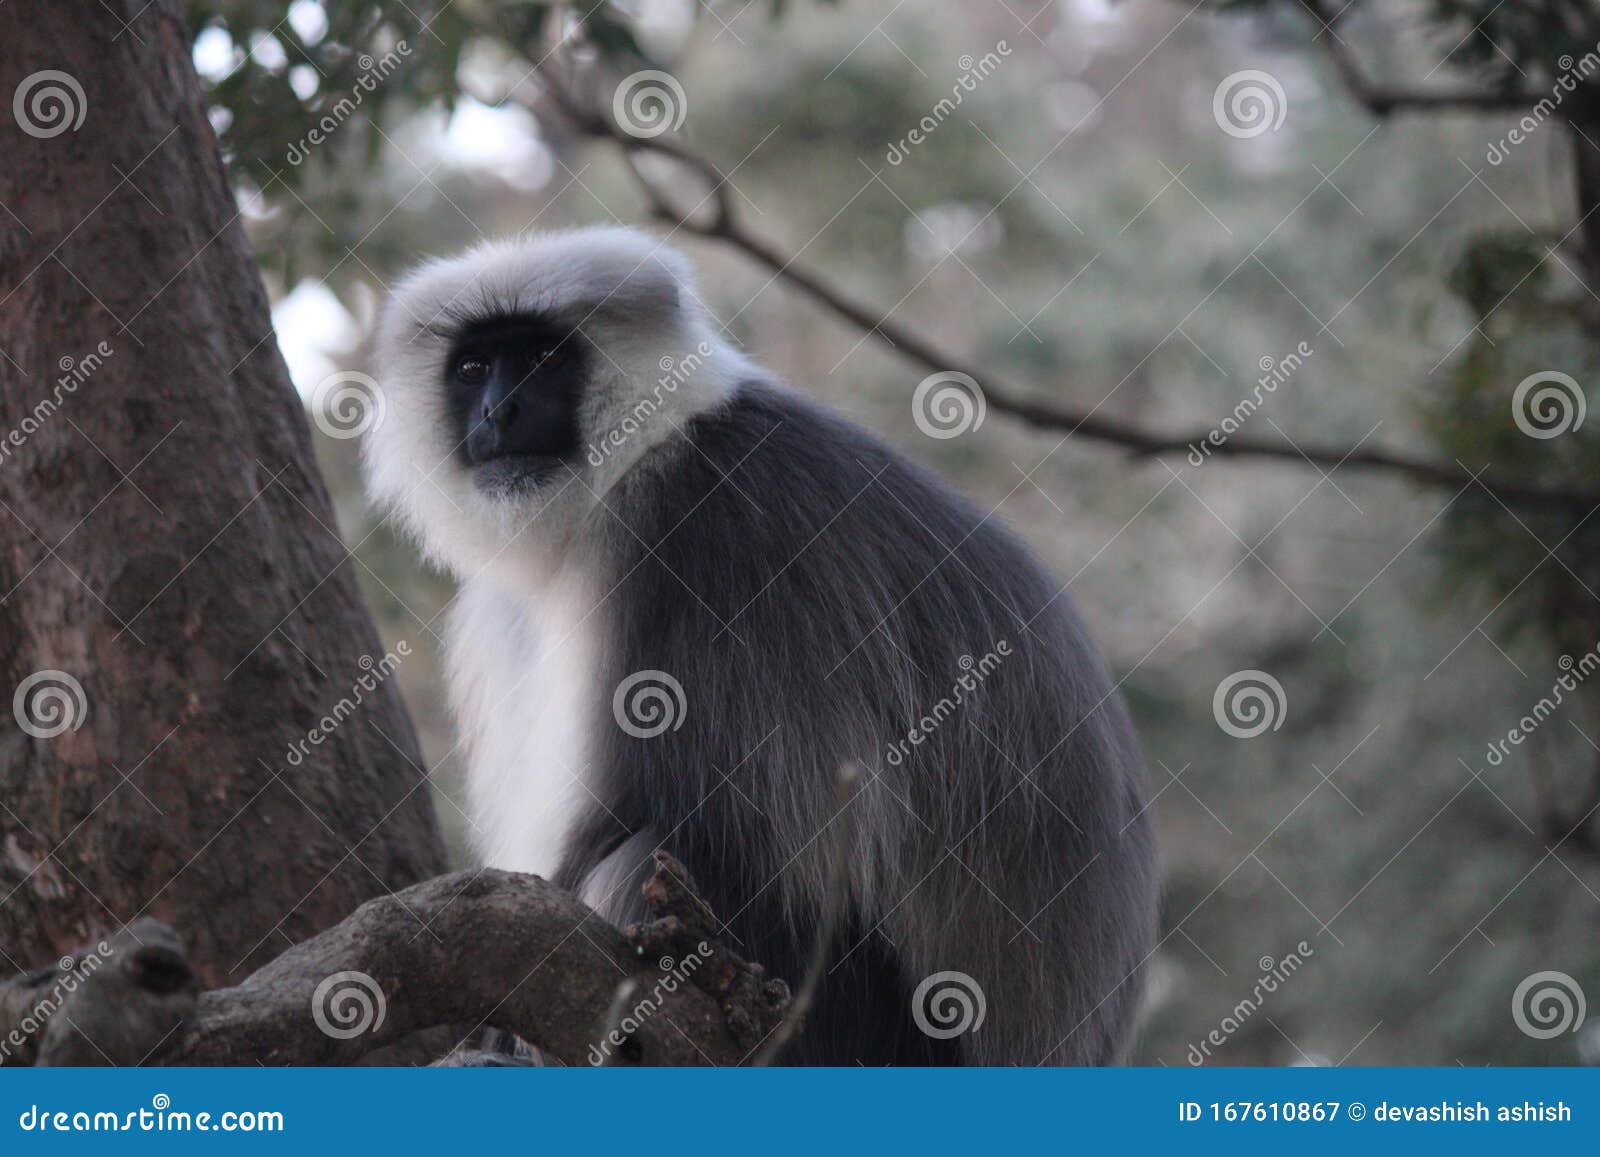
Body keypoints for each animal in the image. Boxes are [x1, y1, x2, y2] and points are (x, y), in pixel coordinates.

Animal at [364, 227, 1157, 1065]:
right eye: (473, 366)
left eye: (544, 357)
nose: (499, 410)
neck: (622, 476)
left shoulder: (705, 526)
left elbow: (700, 808)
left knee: (655, 851)